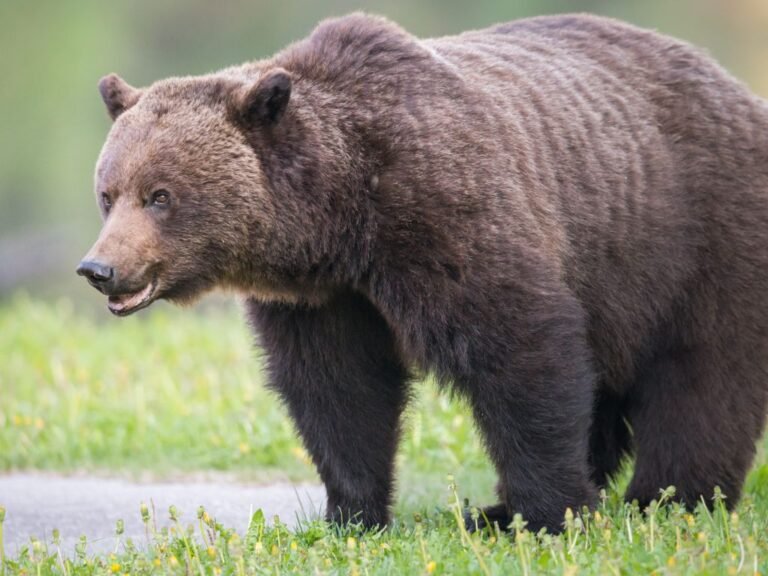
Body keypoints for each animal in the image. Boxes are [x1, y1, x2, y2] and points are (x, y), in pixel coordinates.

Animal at [77, 13, 768, 534]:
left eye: (160, 196)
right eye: (109, 194)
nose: (99, 267)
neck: (344, 218)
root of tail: (739, 90)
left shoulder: (446, 213)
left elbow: (520, 350)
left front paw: (552, 513)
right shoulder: (324, 298)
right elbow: (339, 389)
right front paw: (352, 515)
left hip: (696, 234)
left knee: (703, 377)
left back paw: (669, 500)